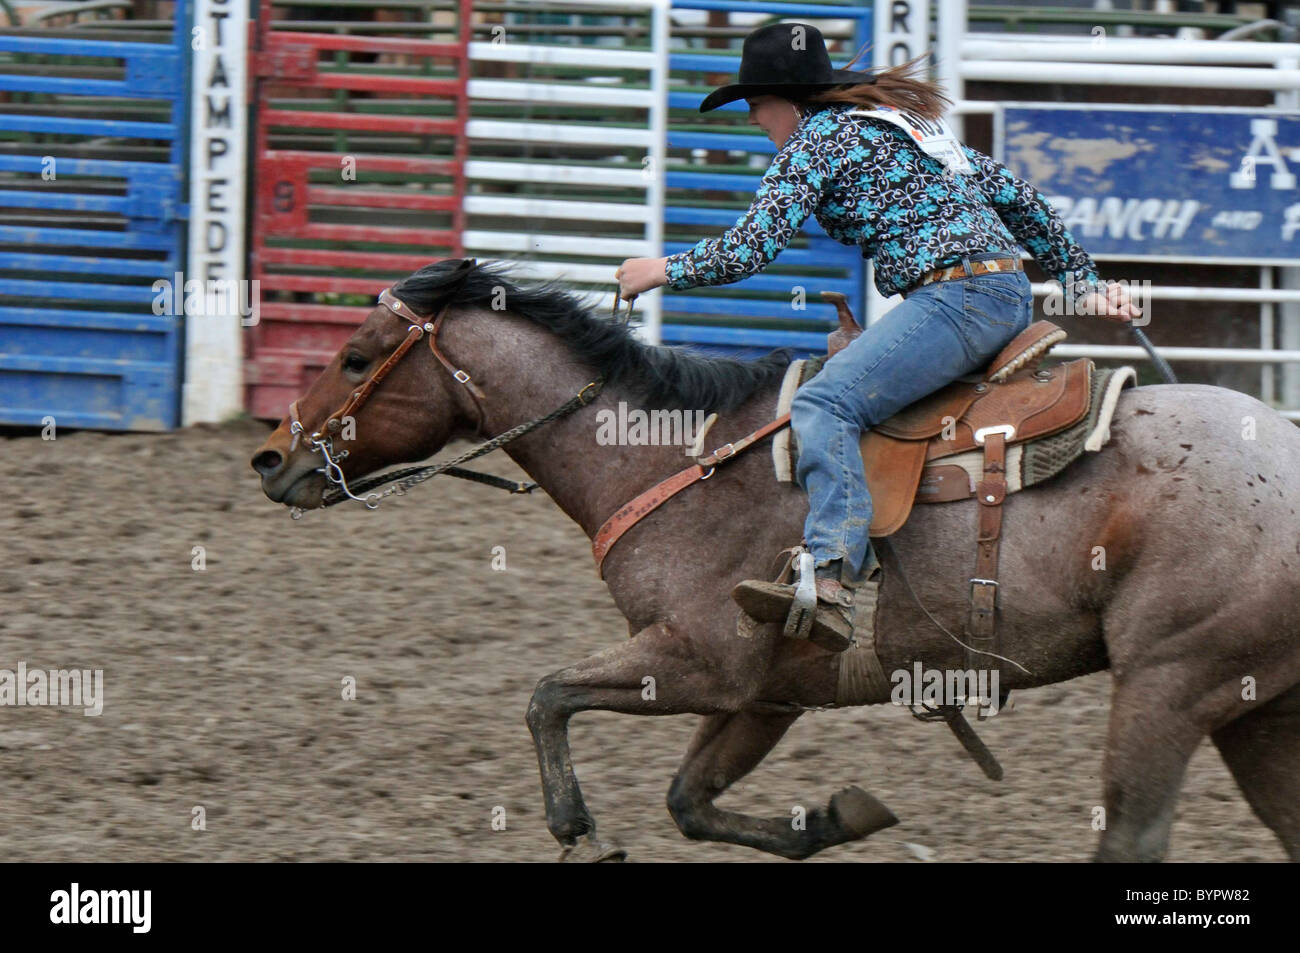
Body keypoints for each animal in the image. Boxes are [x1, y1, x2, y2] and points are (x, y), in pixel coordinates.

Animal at [251, 258, 1300, 862]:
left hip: (1170, 681)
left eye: (357, 356)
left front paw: (578, 829)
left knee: (1132, 832)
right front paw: (837, 817)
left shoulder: (698, 660)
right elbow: (689, 799)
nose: (271, 458)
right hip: (1254, 703)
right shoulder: (768, 692)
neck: (676, 458)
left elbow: (546, 695)